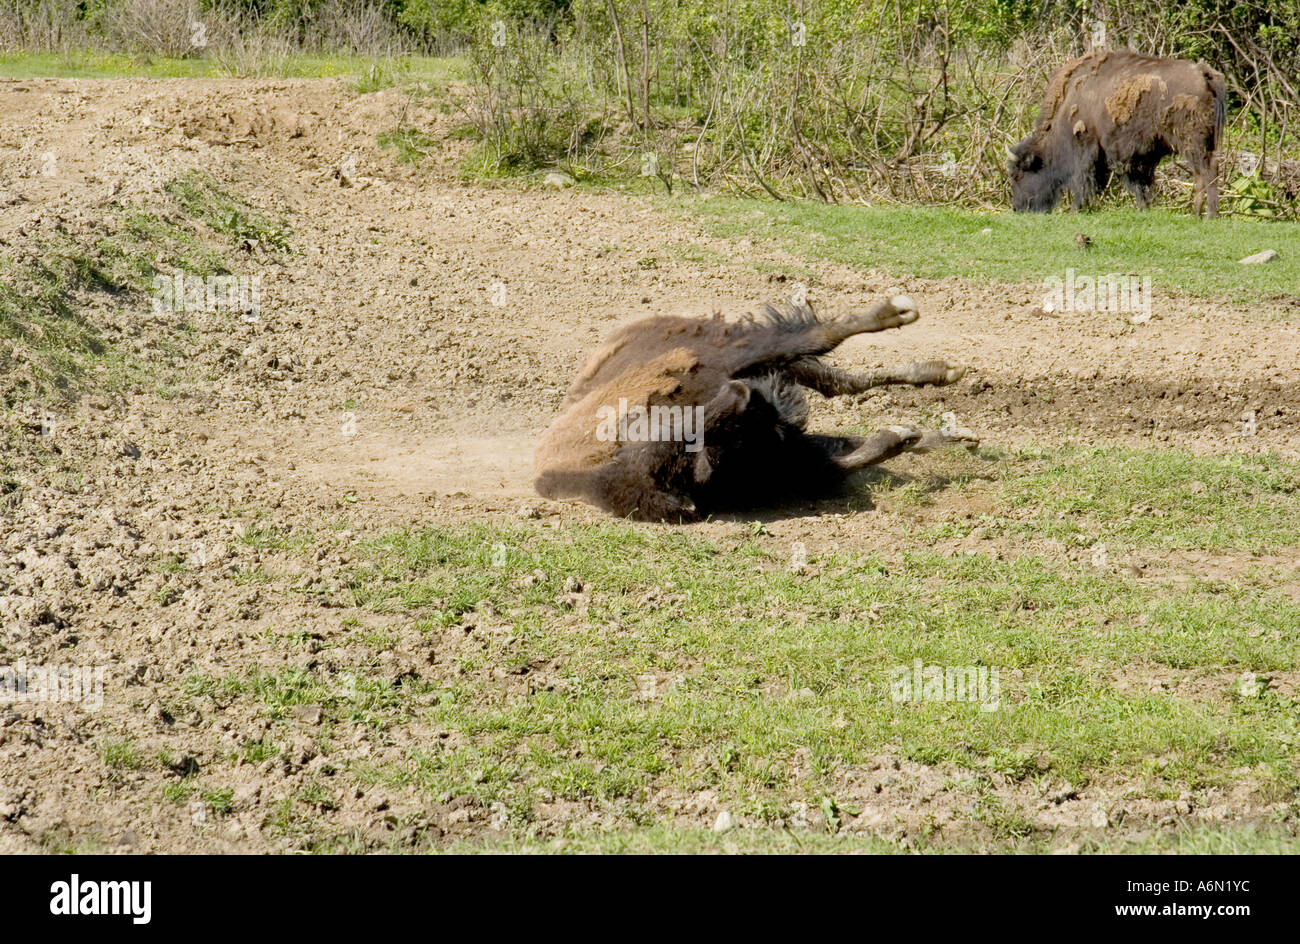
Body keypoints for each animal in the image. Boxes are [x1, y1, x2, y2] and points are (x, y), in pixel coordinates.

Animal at [1008, 50, 1225, 216]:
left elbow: (1084, 182)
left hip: (1193, 143)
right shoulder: (1130, 158)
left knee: (1207, 172)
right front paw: (1145, 208)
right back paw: (1197, 213)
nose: (1017, 208)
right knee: (1201, 175)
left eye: (1018, 176)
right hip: (1199, 145)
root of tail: (1203, 73)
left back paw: (1209, 215)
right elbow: (1138, 185)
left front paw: (1075, 210)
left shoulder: (1087, 149)